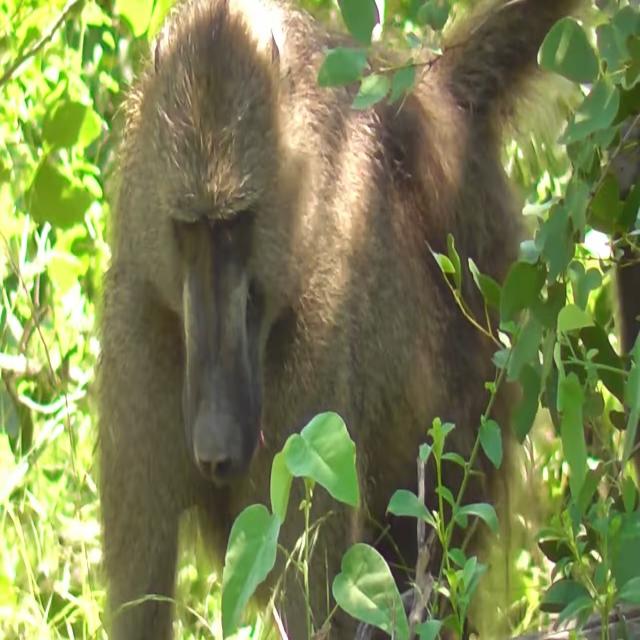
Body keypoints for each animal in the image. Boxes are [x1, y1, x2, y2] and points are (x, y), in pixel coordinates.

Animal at [98, 0, 580, 637]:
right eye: (190, 228)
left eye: (237, 223)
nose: (216, 443)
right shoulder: (141, 316)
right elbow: (140, 604)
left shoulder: (318, 359)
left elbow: (313, 601)